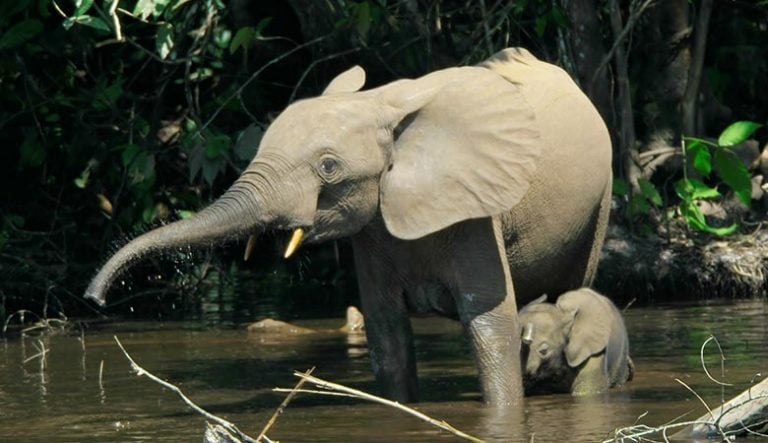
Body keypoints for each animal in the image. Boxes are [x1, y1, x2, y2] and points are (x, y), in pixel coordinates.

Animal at [84, 48, 612, 406]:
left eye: (329, 167)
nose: (94, 299)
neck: (381, 105)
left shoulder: (476, 212)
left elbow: (489, 324)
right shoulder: (373, 230)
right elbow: (387, 334)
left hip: (600, 200)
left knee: (570, 290)